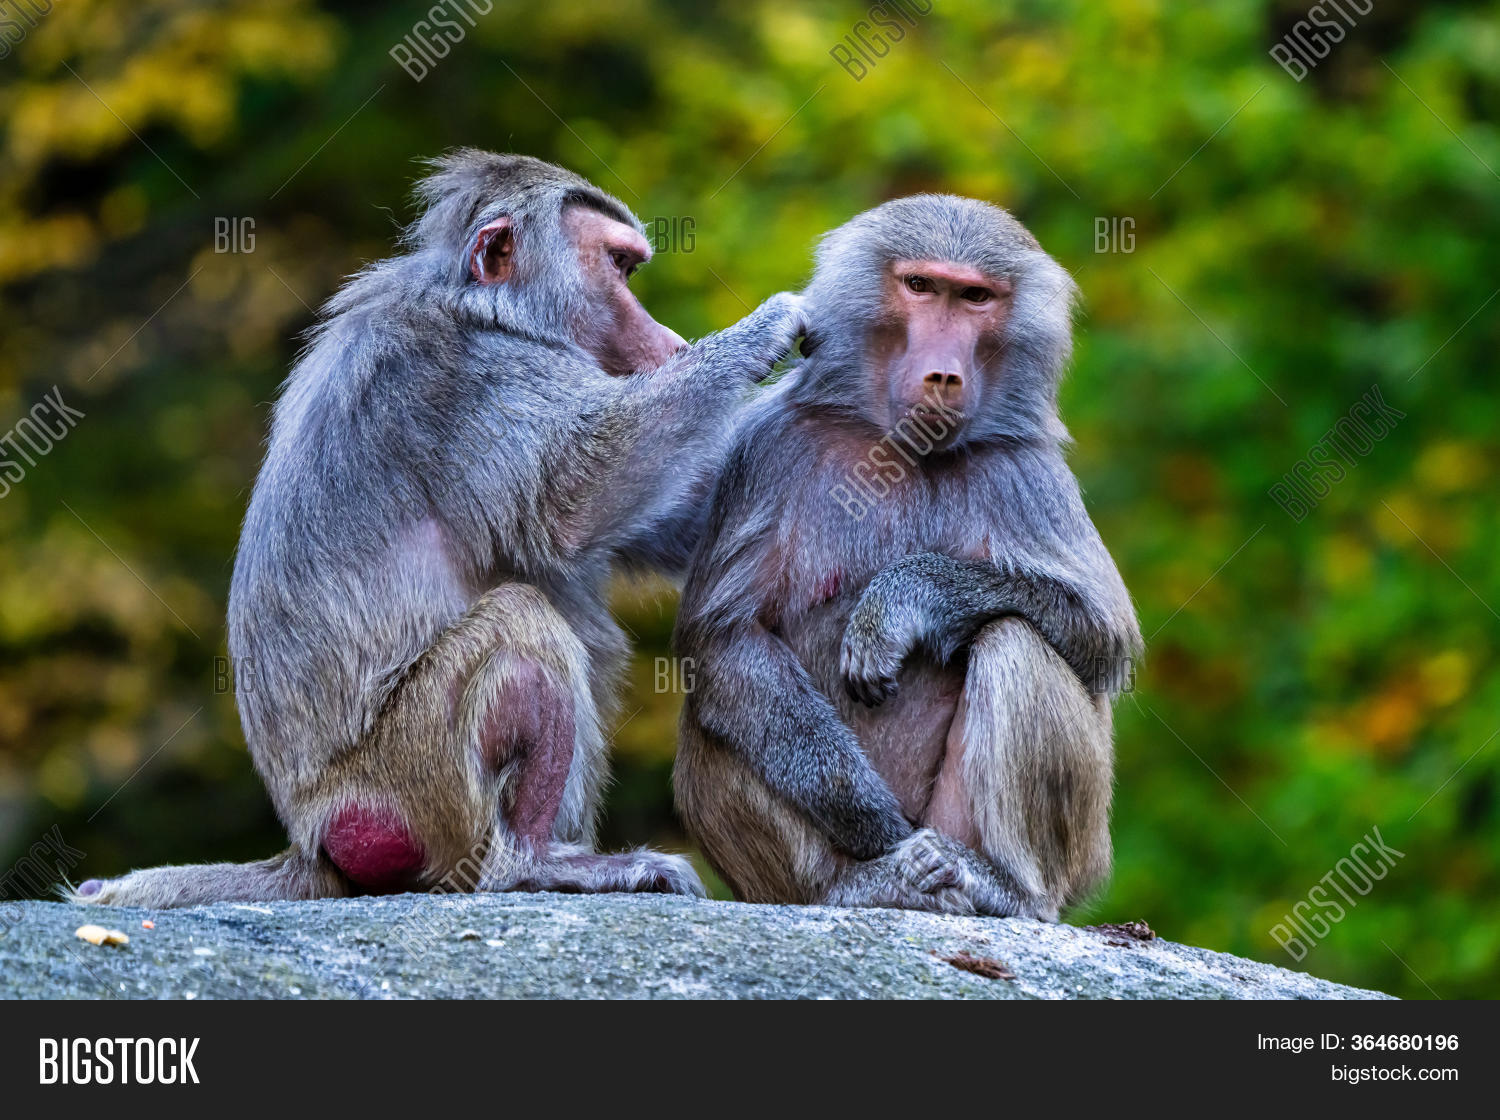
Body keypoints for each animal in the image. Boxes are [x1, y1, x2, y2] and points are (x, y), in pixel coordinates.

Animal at [74, 150, 807, 908]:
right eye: (618, 265)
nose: (669, 341)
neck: (483, 311)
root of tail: (312, 839)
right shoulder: (471, 381)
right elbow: (574, 497)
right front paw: (763, 332)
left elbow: (687, 526)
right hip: (410, 786)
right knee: (522, 625)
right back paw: (532, 864)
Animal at [673, 194, 1141, 921]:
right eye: (920, 286)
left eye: (976, 297)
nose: (944, 374)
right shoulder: (768, 446)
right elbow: (722, 638)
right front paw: (871, 823)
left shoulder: (1026, 471)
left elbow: (1102, 632)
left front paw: (901, 602)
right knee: (720, 703)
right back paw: (861, 883)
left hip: (1061, 853)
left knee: (1013, 638)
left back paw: (1002, 889)